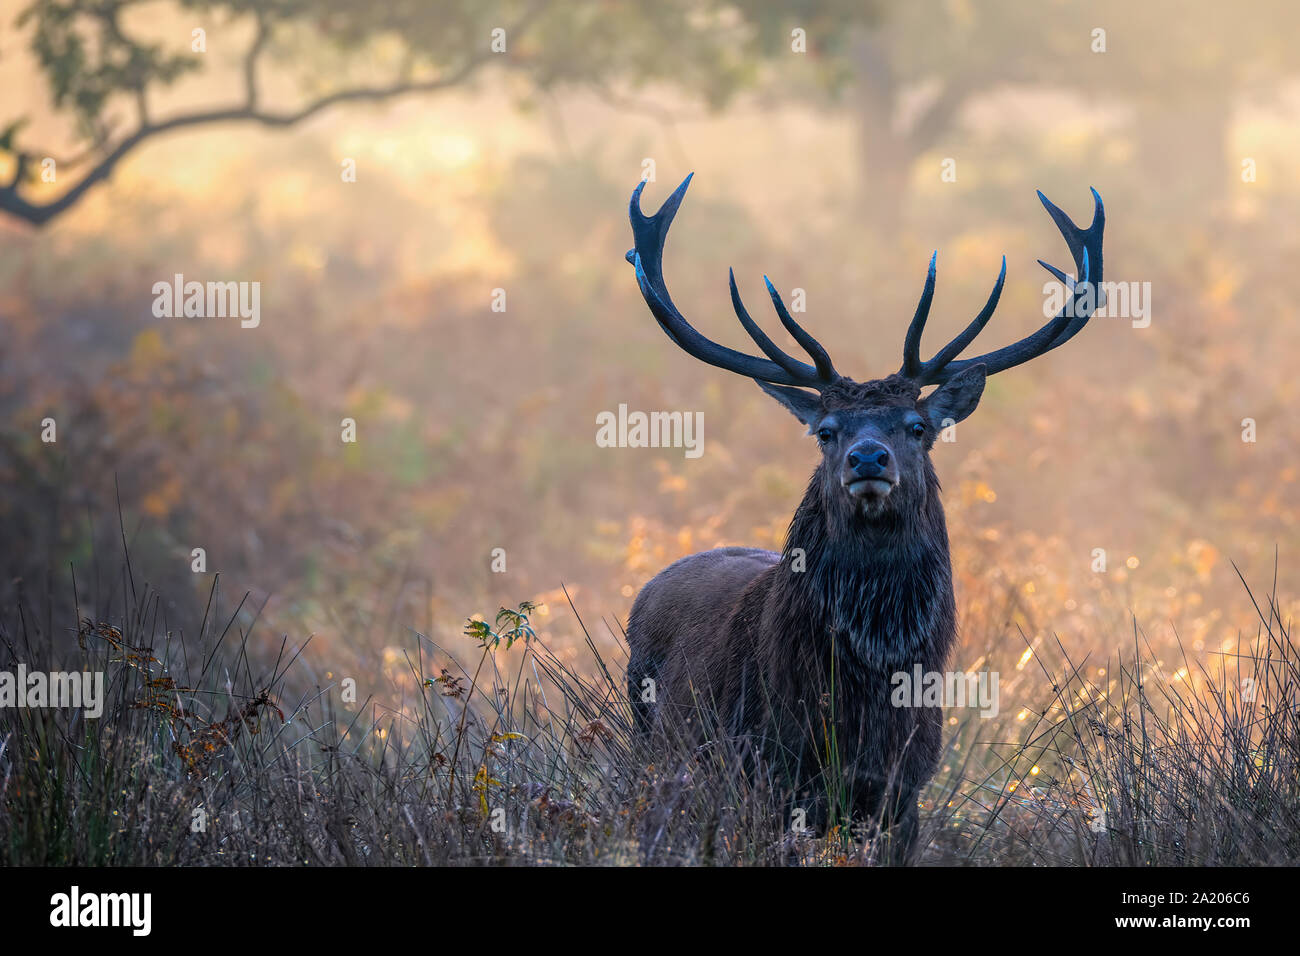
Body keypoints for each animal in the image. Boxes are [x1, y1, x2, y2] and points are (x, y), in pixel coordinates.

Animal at [622, 174, 1104, 863]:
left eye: (918, 426)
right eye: (826, 430)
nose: (868, 457)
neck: (866, 704)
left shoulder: (905, 791)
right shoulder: (766, 776)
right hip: (654, 747)